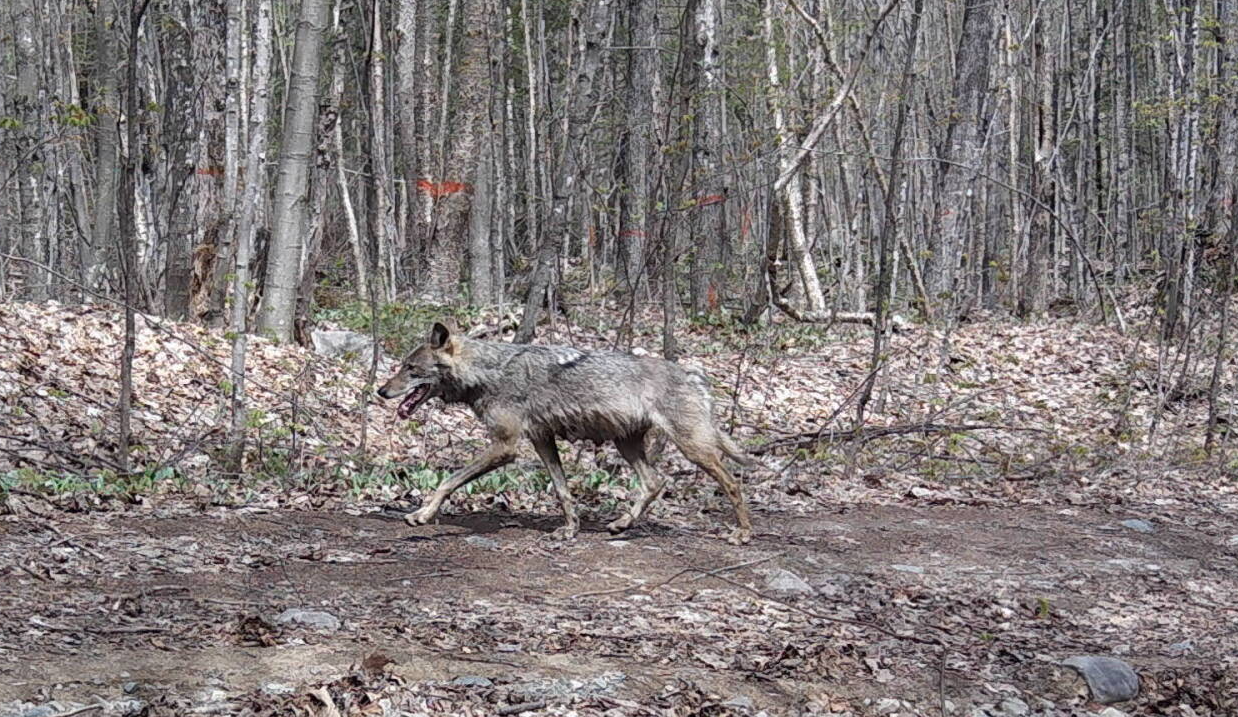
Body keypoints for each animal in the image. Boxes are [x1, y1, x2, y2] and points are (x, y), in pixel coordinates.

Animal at [377, 321, 754, 544]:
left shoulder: (505, 446)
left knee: (732, 482)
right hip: (626, 443)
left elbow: (448, 480)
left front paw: (423, 515)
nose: (381, 391)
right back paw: (621, 524)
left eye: (411, 369)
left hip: (692, 448)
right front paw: (571, 529)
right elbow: (562, 490)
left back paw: (743, 534)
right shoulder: (542, 440)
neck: (488, 372)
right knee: (655, 482)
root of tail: (694, 374)